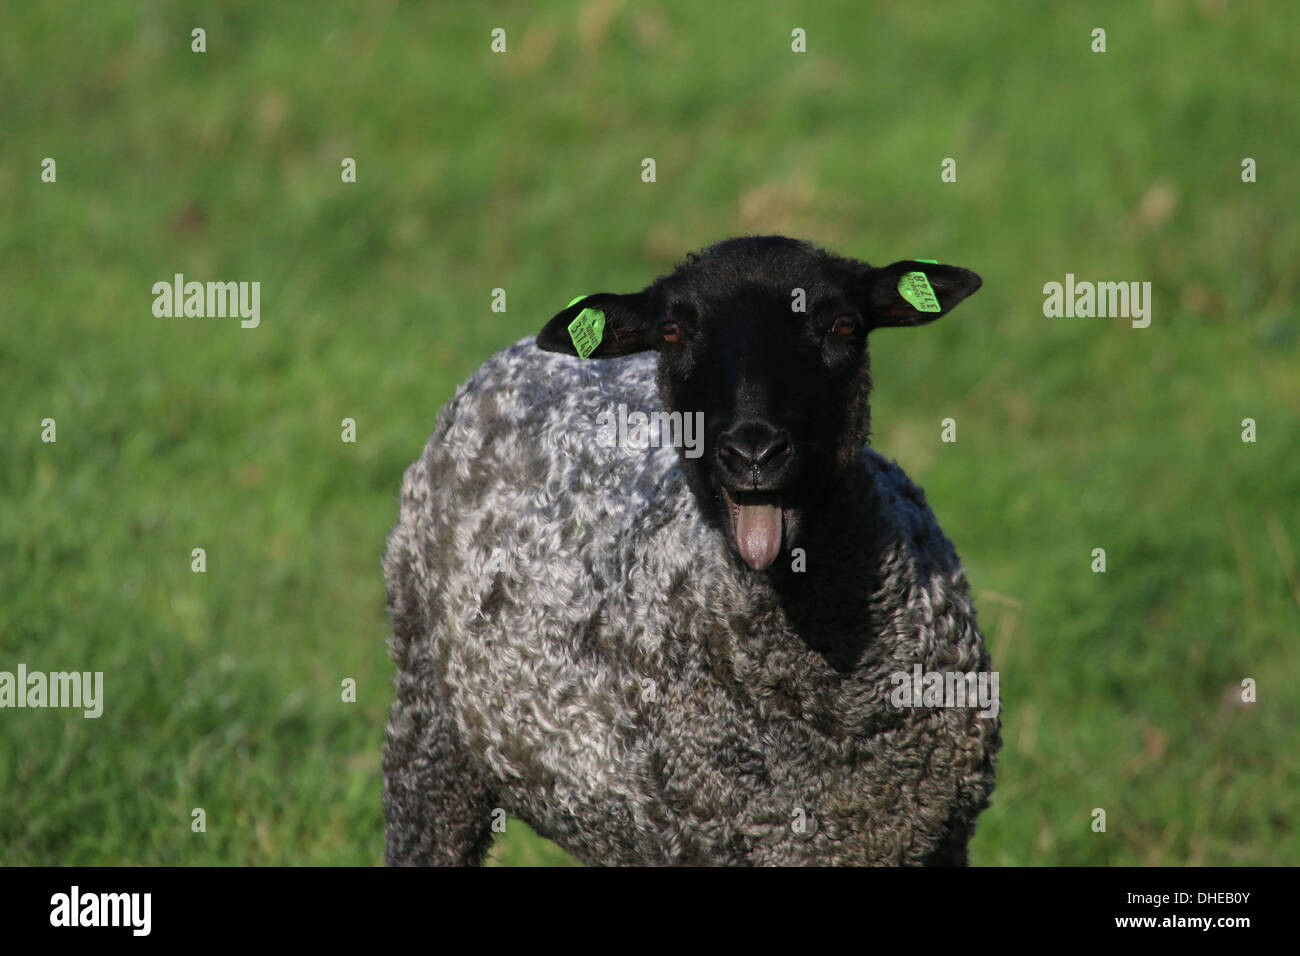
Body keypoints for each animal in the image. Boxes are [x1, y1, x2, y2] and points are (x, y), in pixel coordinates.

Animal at [382, 235, 1000, 866]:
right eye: (673, 332)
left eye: (843, 324)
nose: (754, 451)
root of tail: (520, 352)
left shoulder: (938, 840)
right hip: (429, 721)